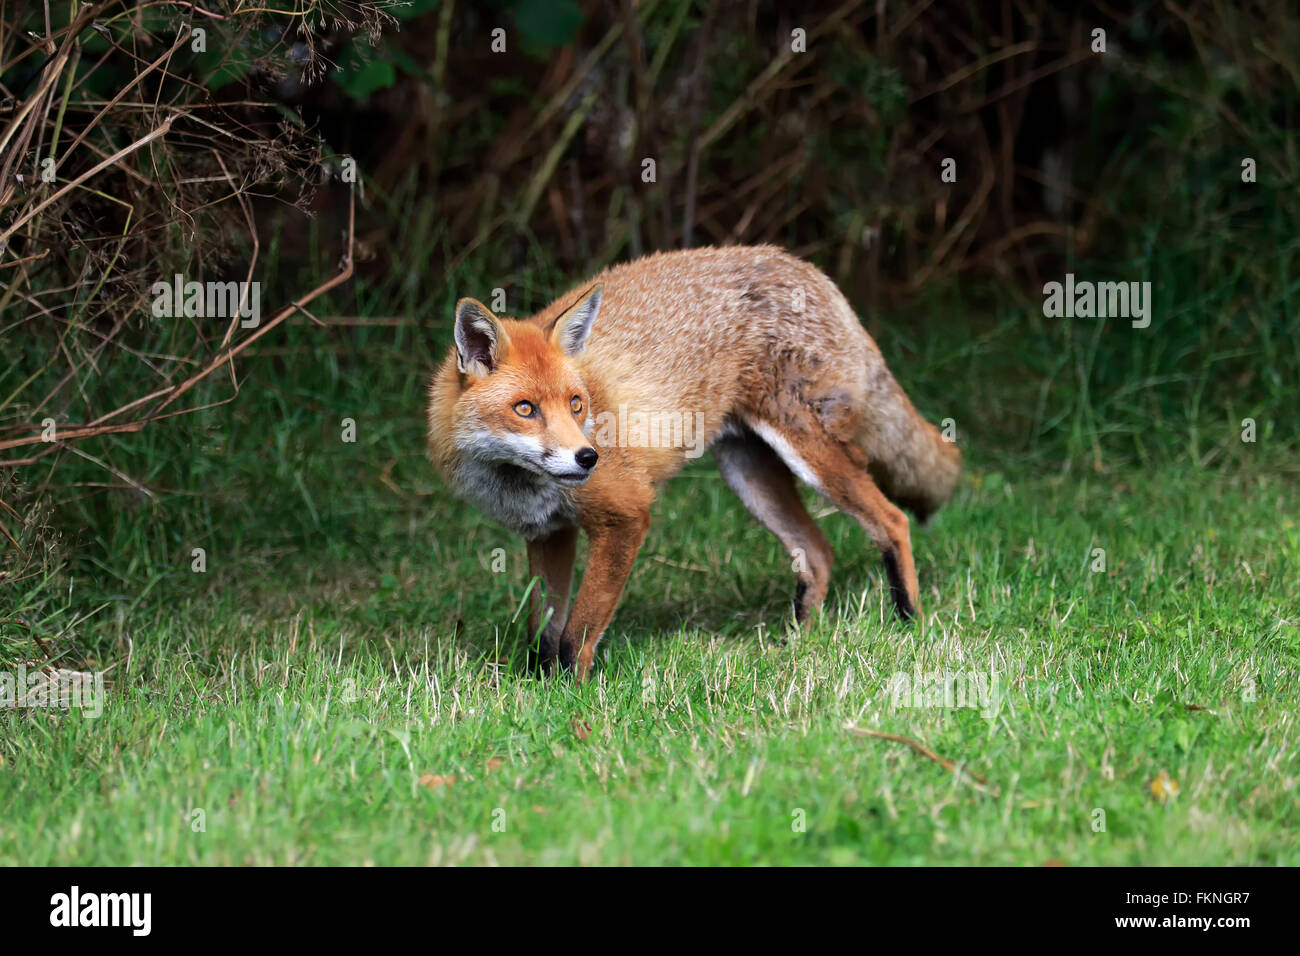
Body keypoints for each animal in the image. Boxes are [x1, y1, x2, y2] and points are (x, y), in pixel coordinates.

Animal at [427, 245, 961, 680]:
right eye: (525, 409)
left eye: (576, 404)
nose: (588, 457)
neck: (519, 483)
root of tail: (806, 269)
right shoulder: (549, 533)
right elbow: (544, 633)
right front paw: (542, 693)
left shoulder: (625, 516)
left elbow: (576, 633)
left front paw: (573, 699)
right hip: (750, 474)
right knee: (818, 552)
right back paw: (796, 645)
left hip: (811, 455)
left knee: (891, 520)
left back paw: (908, 624)